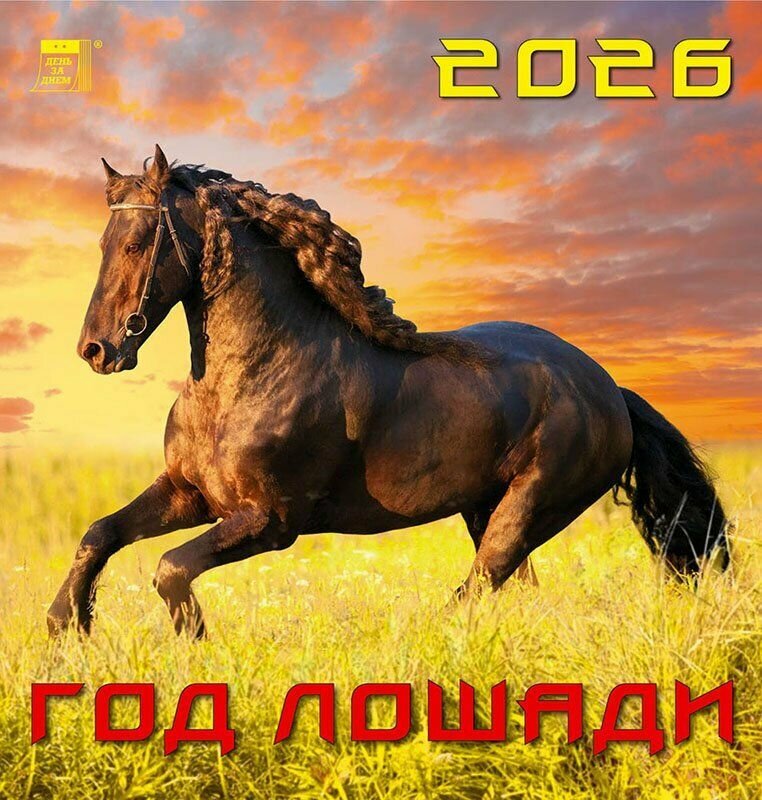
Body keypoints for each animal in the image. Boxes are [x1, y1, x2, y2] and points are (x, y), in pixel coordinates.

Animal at [47, 145, 730, 639]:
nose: (96, 350)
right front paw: (67, 627)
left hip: (530, 509)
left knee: (475, 592)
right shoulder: (191, 494)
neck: (243, 381)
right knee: (511, 593)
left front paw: (192, 645)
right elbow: (99, 534)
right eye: (103, 244)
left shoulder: (271, 521)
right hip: (486, 510)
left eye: (137, 243)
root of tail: (610, 390)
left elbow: (169, 570)